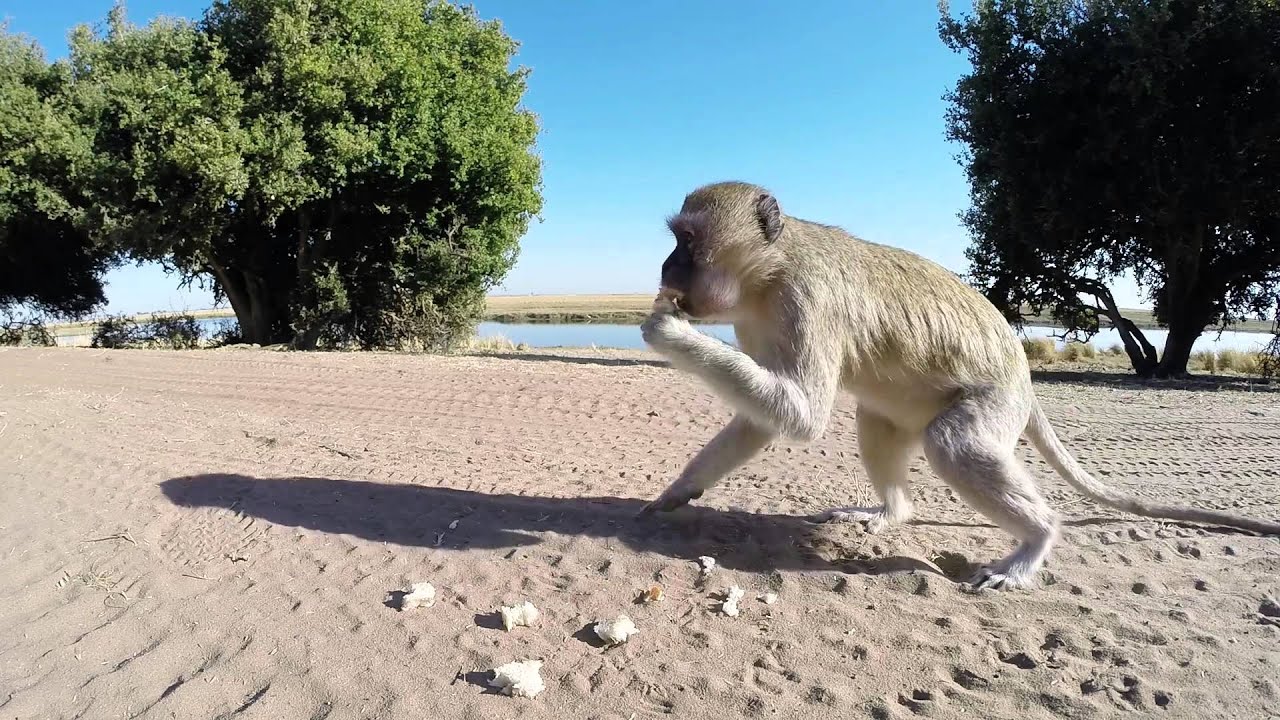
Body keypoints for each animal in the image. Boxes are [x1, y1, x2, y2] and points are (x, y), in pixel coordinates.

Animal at [637, 180, 1280, 591]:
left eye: (687, 241)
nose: (666, 267)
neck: (766, 274)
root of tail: (1024, 373)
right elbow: (764, 420)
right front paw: (681, 489)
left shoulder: (805, 299)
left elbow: (801, 416)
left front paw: (666, 330)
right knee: (877, 423)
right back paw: (891, 512)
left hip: (997, 401)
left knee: (953, 443)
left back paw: (1035, 543)